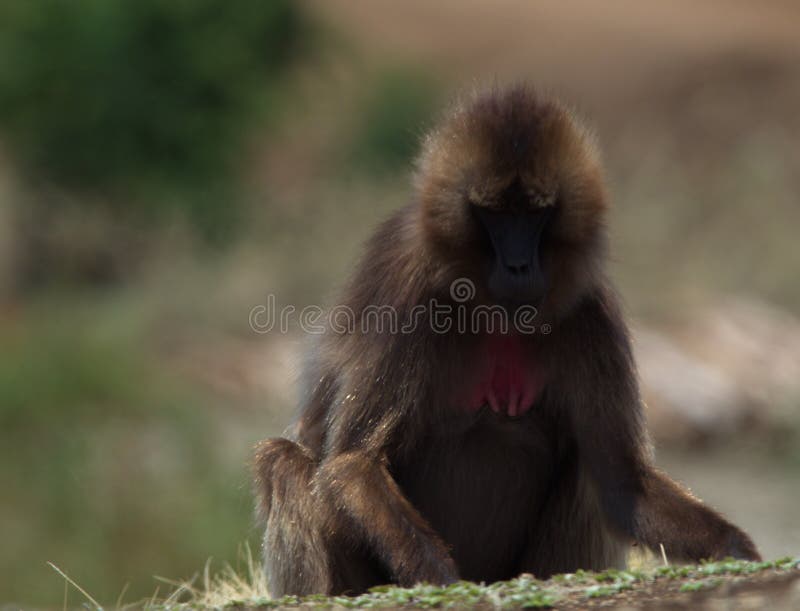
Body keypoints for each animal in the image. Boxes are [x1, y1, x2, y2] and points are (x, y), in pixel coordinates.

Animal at [253, 85, 760, 597]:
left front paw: (735, 550)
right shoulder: (405, 300)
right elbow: (354, 463)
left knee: (588, 471)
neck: (491, 308)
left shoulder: (590, 314)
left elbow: (622, 483)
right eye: (496, 214)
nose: (519, 267)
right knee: (283, 461)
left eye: (535, 213)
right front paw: (444, 582)